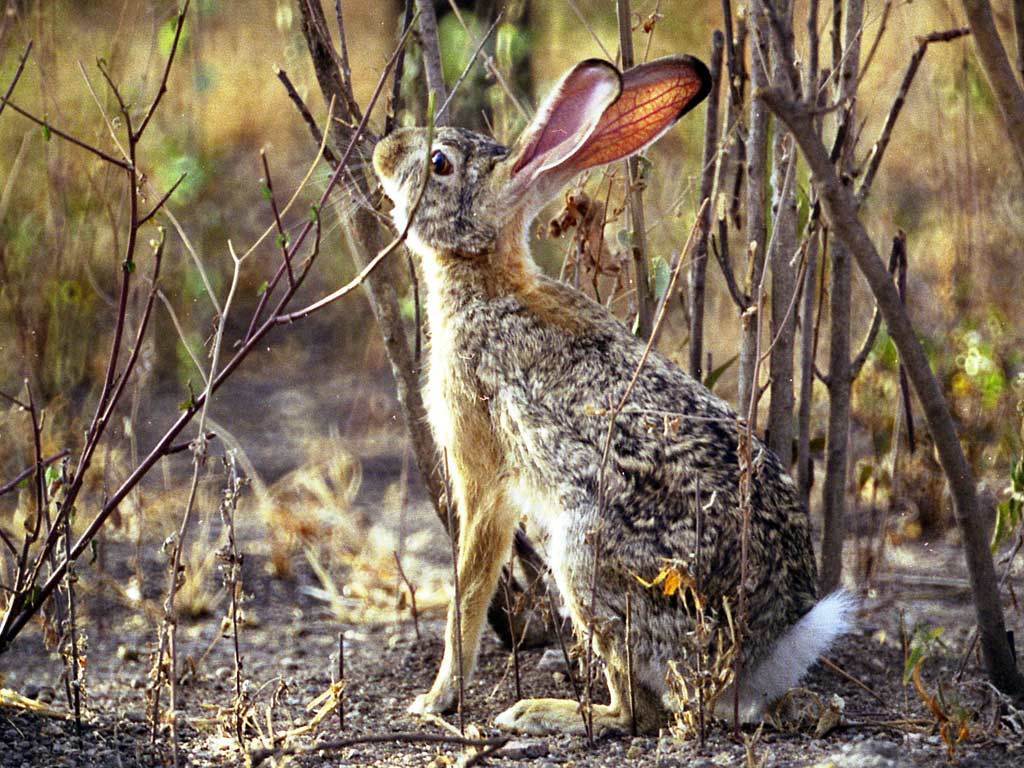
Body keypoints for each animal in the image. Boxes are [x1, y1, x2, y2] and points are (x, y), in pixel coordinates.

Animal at [372, 55, 857, 736]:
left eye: (439, 163)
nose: (384, 151)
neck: (485, 278)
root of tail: (762, 651)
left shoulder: (482, 466)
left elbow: (469, 583)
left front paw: (437, 698)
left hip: (585, 559)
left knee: (641, 713)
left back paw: (544, 713)